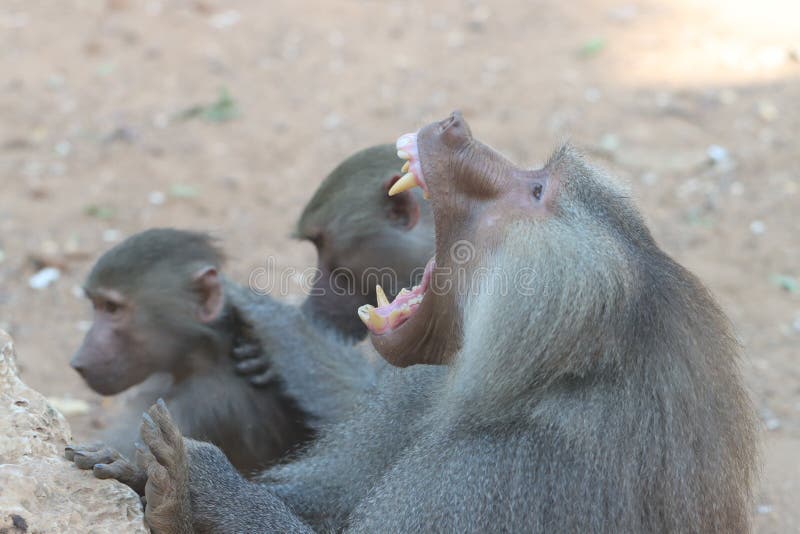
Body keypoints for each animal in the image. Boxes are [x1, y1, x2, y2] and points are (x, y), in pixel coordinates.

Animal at [135, 112, 759, 533]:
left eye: (535, 190)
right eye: (539, 172)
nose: (456, 125)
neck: (552, 372)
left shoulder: (506, 468)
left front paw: (190, 484)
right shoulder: (426, 388)